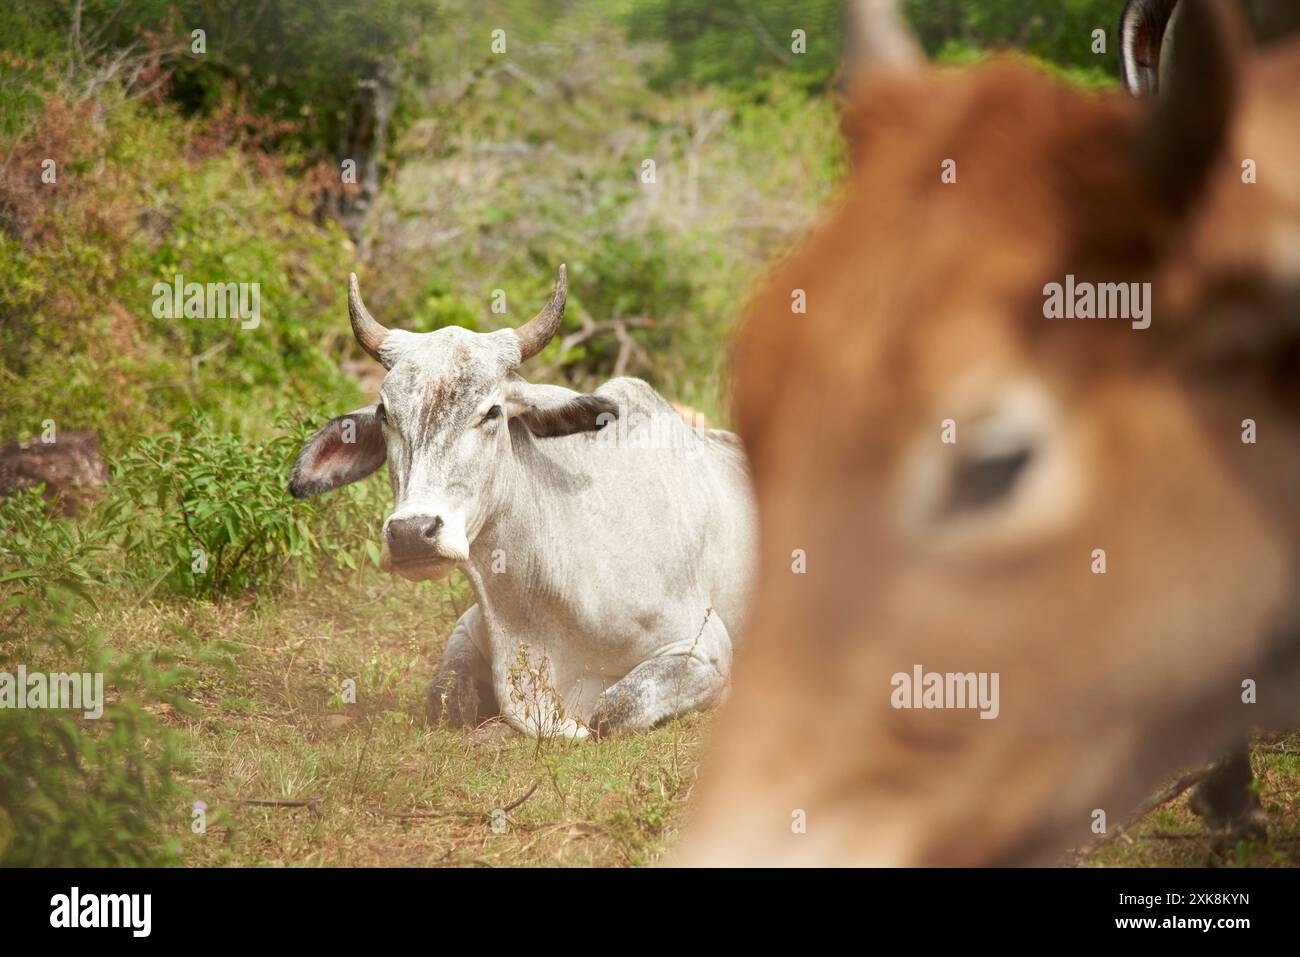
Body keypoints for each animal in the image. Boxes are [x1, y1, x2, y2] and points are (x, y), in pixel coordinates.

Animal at [289, 266, 755, 738]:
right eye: (386, 414)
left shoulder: (704, 651)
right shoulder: (468, 628)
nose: (411, 533)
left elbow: (614, 710)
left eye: (492, 412)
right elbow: (445, 699)